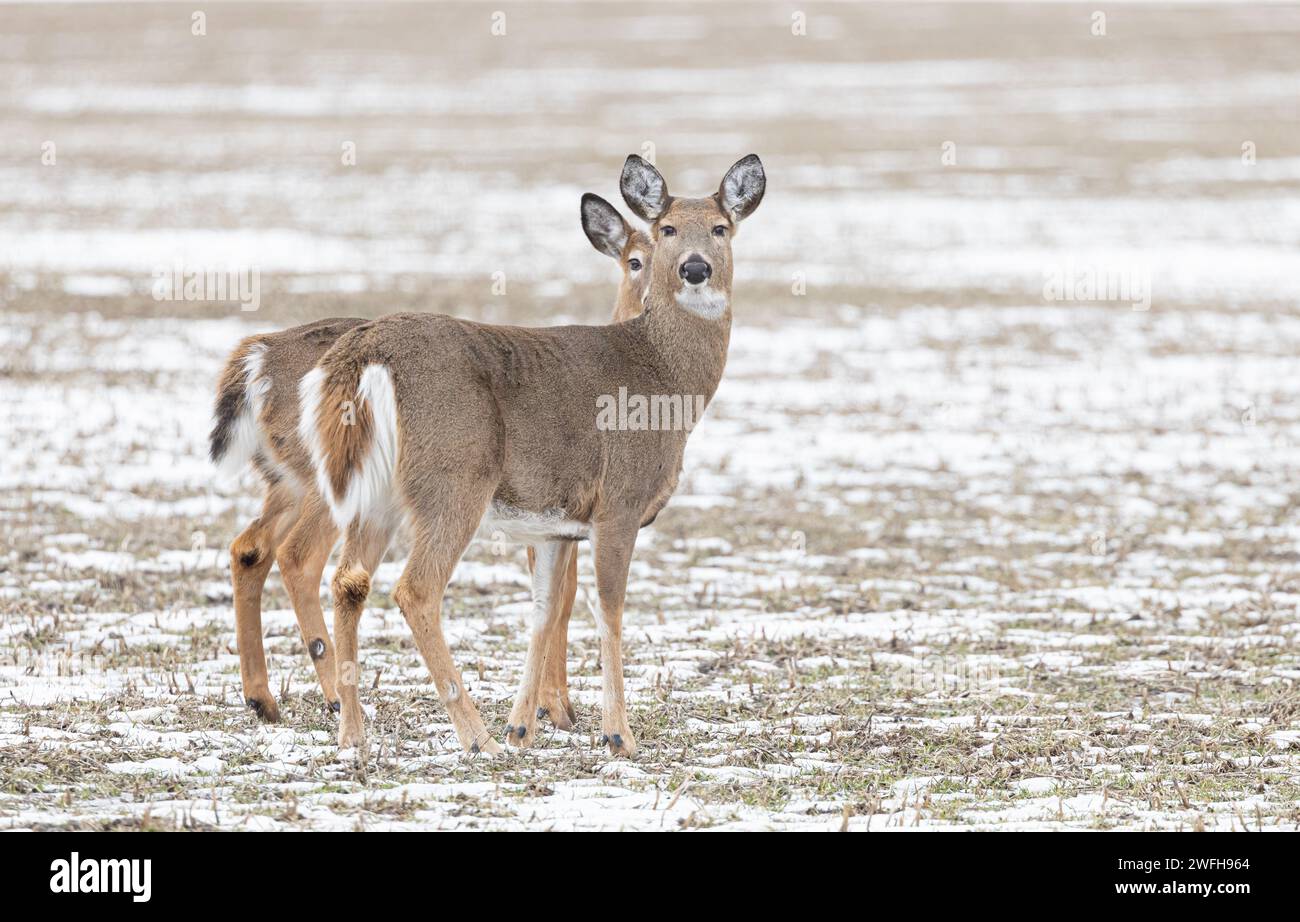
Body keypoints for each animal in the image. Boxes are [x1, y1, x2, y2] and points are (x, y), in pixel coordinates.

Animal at [209, 193, 653, 727]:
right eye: (634, 260)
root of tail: (257, 359)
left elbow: (560, 596)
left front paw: (556, 707)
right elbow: (559, 597)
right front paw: (553, 709)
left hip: (287, 481)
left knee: (250, 547)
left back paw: (263, 699)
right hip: (333, 482)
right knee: (300, 556)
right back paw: (336, 696)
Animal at [298, 154, 765, 757]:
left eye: (720, 227)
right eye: (666, 229)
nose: (695, 268)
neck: (664, 377)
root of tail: (364, 355)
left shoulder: (556, 524)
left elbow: (544, 610)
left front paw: (522, 727)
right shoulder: (620, 500)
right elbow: (609, 609)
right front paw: (619, 736)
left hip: (371, 490)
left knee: (349, 581)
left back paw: (353, 736)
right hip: (455, 473)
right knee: (416, 589)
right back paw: (475, 737)